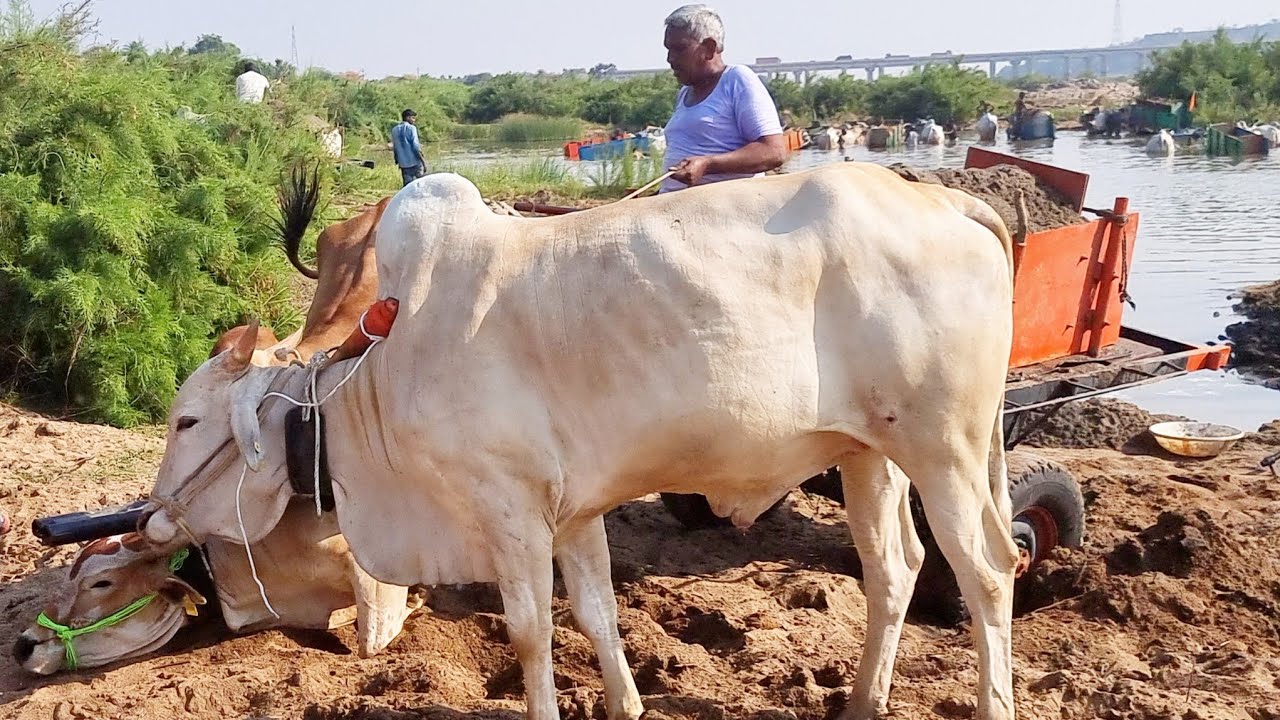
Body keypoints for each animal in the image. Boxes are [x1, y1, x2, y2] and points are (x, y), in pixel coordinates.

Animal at [138, 161, 1020, 720]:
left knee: (986, 571)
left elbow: (531, 632)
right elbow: (596, 614)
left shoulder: (510, 512)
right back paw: (864, 700)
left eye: (187, 422)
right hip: (871, 454)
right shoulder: (573, 513)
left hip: (946, 449)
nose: (147, 517)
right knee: (893, 569)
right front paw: (626, 704)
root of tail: (943, 200)